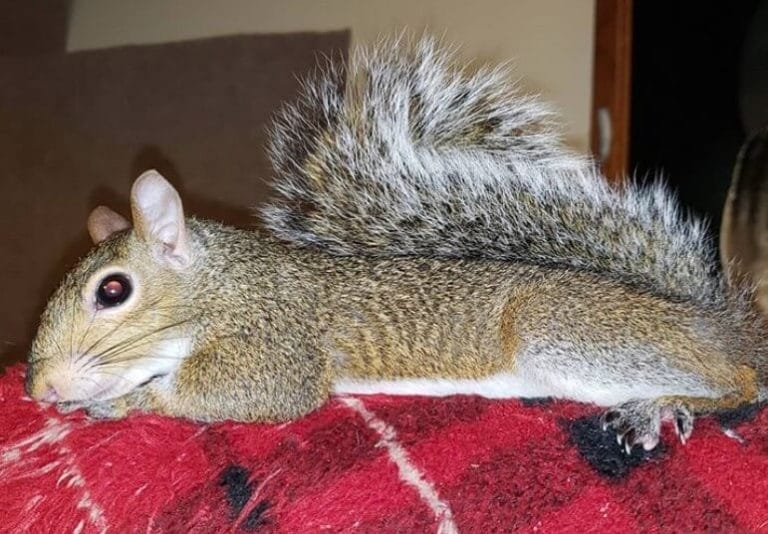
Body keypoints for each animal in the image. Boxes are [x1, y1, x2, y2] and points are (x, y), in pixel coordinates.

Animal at [25, 36, 767, 453]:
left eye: (112, 290)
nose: (39, 389)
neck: (228, 282)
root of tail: (722, 325)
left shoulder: (276, 344)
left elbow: (243, 391)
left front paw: (122, 402)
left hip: (567, 333)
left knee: (743, 384)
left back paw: (662, 404)